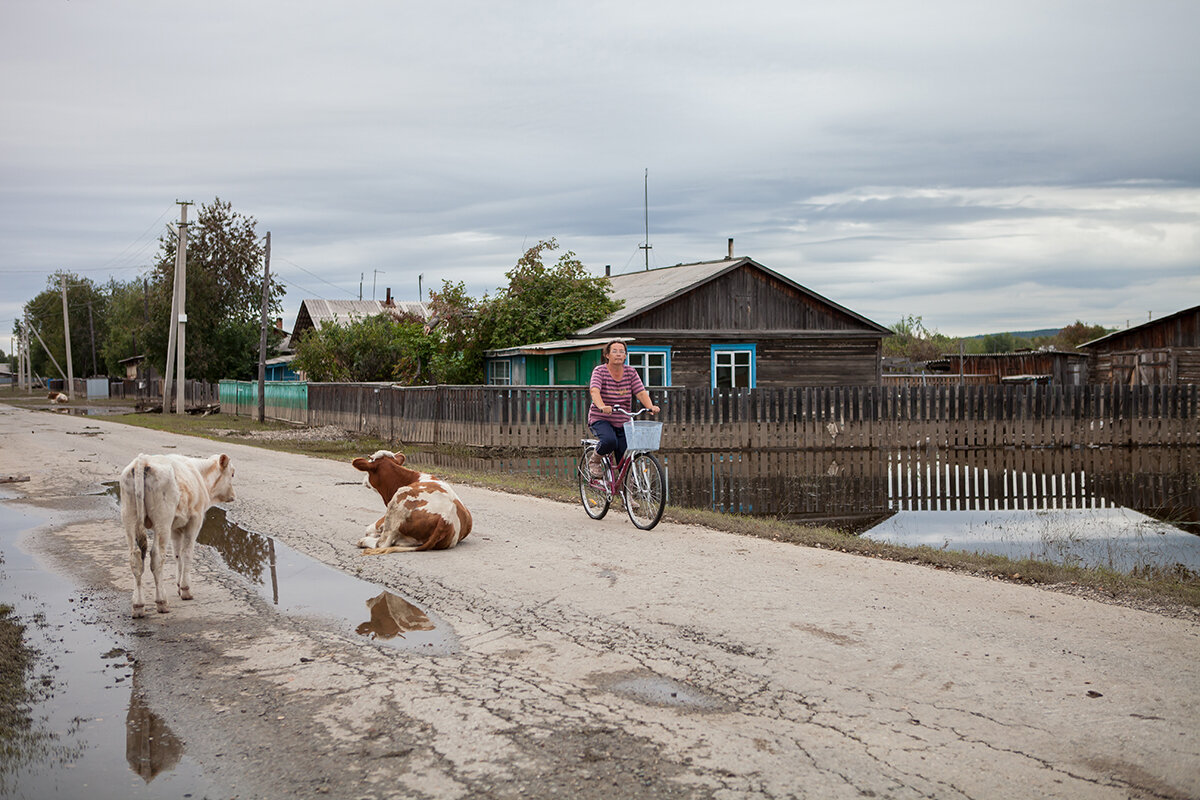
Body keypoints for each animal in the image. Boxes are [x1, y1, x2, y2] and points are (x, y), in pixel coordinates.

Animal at [118, 453, 235, 618]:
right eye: (232, 474)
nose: (233, 496)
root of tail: (142, 460)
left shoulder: (176, 527)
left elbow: (177, 554)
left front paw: (179, 586)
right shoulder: (195, 521)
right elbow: (187, 553)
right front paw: (185, 589)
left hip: (130, 518)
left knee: (135, 558)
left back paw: (138, 606)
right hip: (163, 520)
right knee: (156, 557)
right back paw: (161, 602)